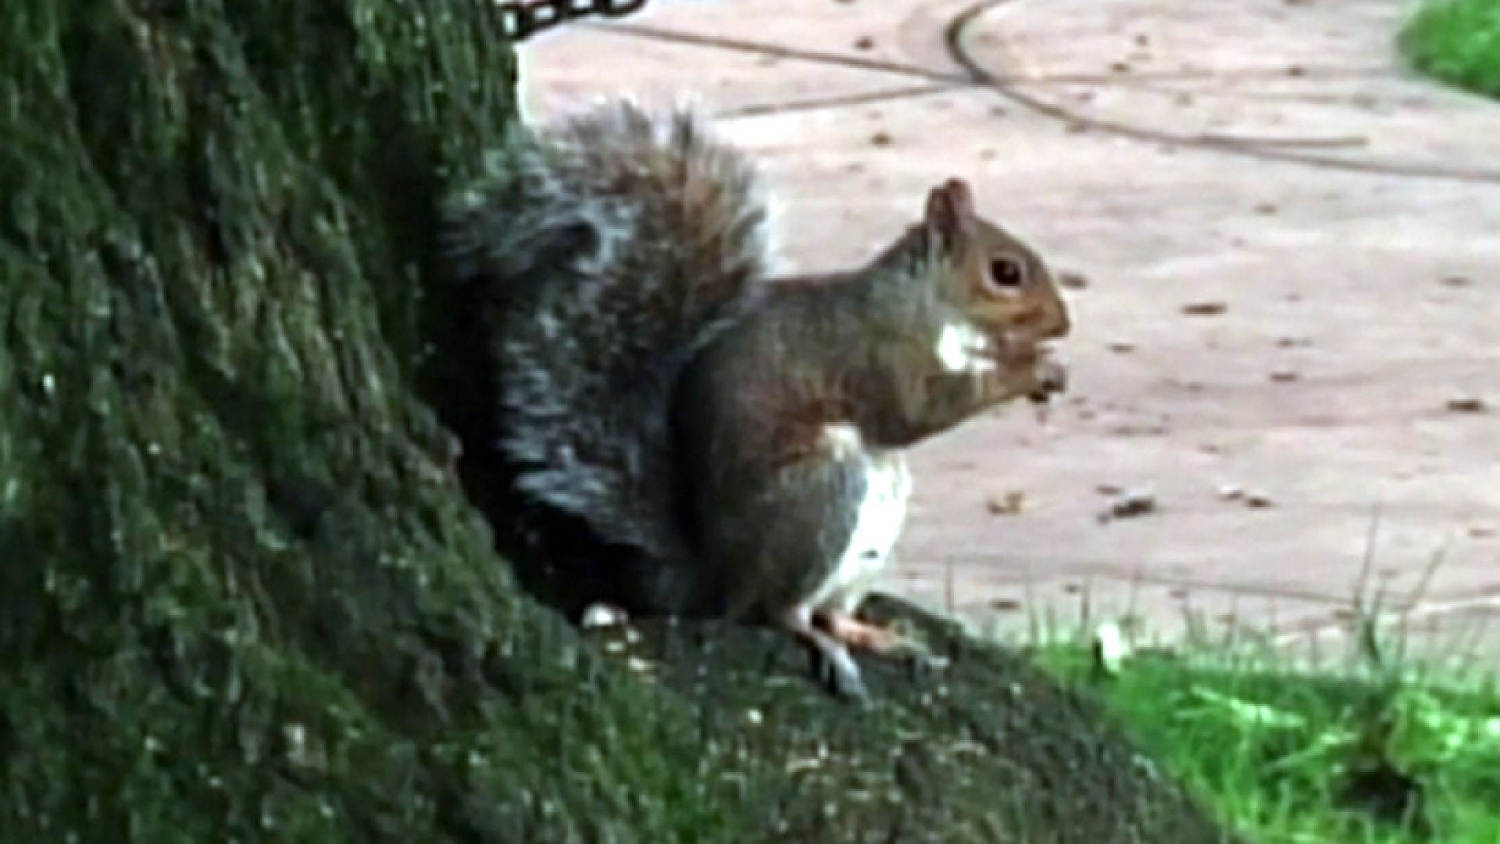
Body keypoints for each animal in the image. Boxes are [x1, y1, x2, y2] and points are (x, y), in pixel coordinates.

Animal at [441, 102, 1070, 698]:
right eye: (1006, 272)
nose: (1063, 325)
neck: (927, 302)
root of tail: (717, 577)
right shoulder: (880, 351)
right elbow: (915, 410)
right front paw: (1026, 368)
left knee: (828, 612)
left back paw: (875, 637)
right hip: (818, 497)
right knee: (777, 611)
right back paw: (820, 642)